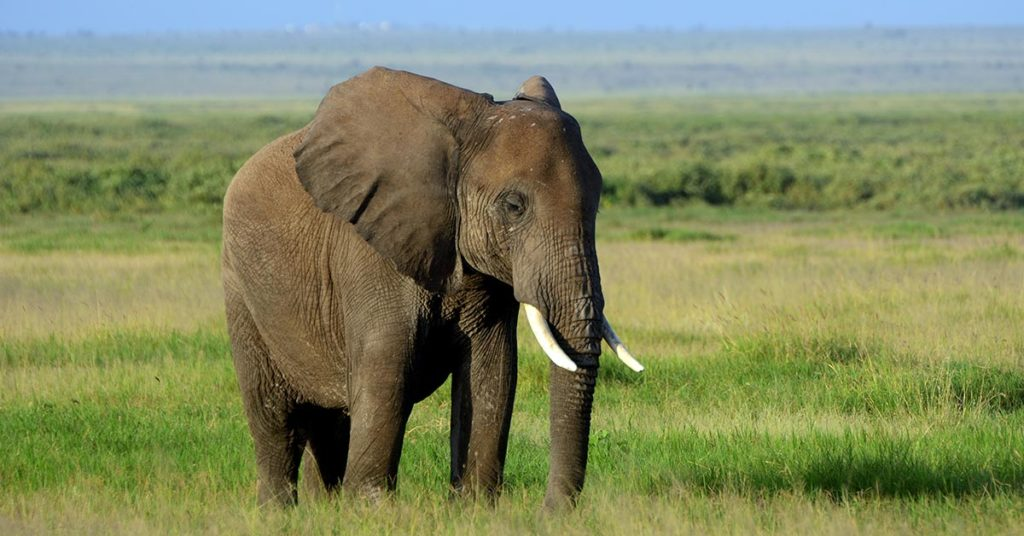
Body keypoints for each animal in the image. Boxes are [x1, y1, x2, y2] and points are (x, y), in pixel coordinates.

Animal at [221, 66, 643, 510]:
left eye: (597, 205)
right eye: (514, 206)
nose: (550, 512)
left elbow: (492, 371)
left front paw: (474, 508)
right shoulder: (370, 252)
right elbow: (387, 367)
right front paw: (372, 510)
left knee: (328, 421)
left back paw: (324, 508)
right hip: (240, 286)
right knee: (273, 417)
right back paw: (278, 512)